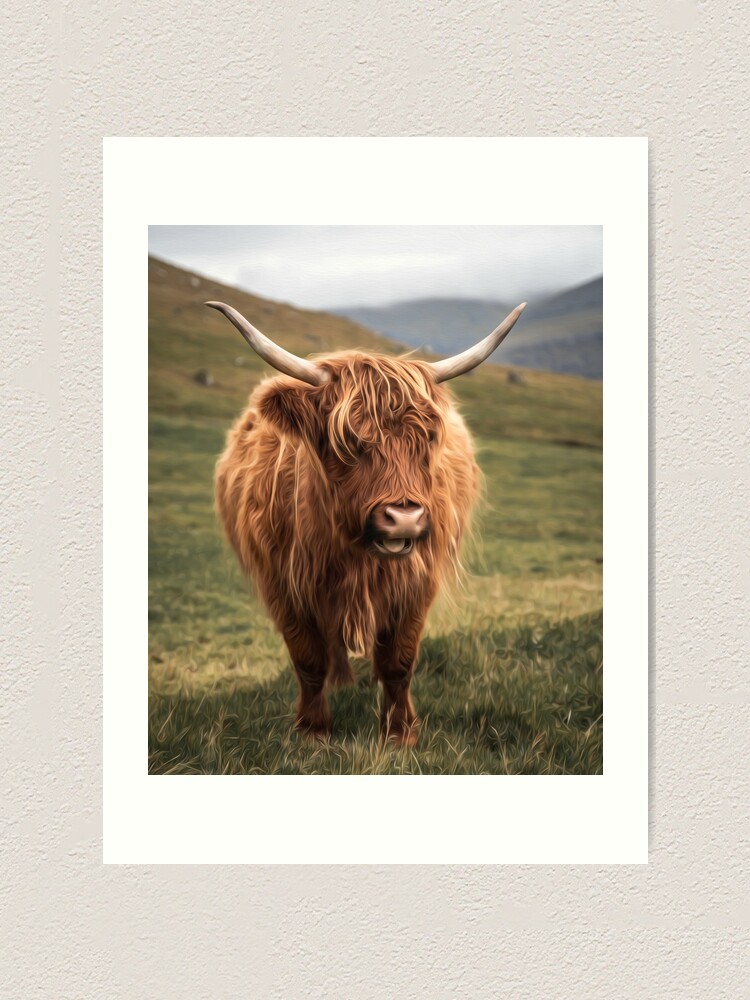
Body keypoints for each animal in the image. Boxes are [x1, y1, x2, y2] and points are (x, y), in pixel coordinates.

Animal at [210, 299, 526, 746]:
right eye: (348, 441)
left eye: (428, 438)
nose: (404, 518)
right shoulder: (283, 585)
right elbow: (308, 660)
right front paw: (312, 731)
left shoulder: (416, 583)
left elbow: (399, 661)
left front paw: (400, 733)